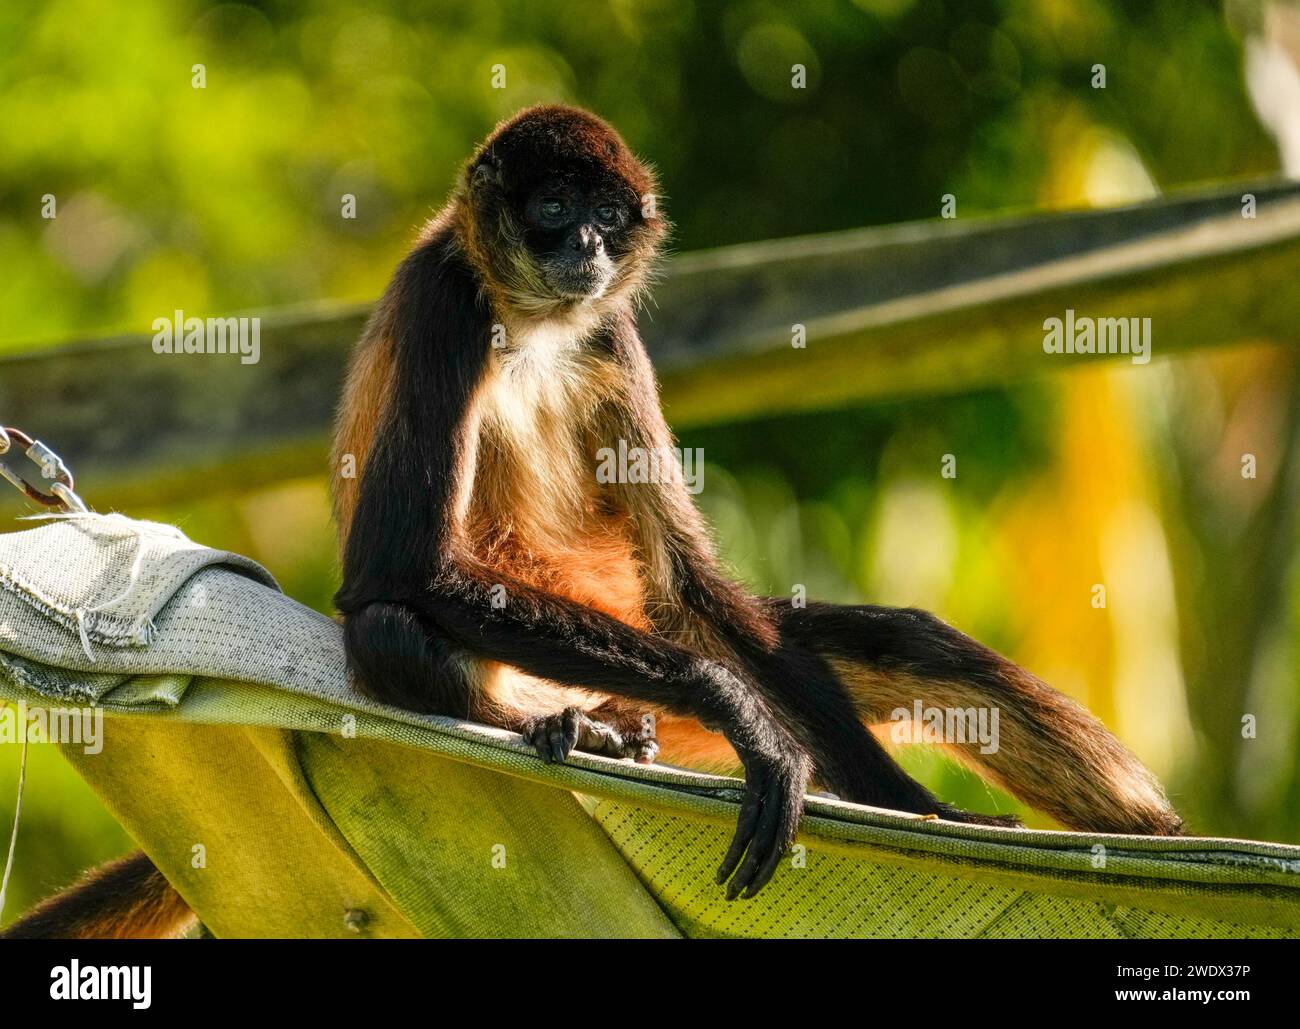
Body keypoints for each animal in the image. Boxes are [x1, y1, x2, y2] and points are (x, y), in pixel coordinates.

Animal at [1, 104, 1180, 939]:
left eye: (610, 221)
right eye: (553, 211)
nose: (591, 252)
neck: (530, 319)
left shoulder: (610, 333)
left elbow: (692, 580)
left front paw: (908, 805)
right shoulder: (445, 296)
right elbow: (392, 576)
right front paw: (736, 709)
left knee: (893, 643)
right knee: (388, 628)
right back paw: (571, 726)